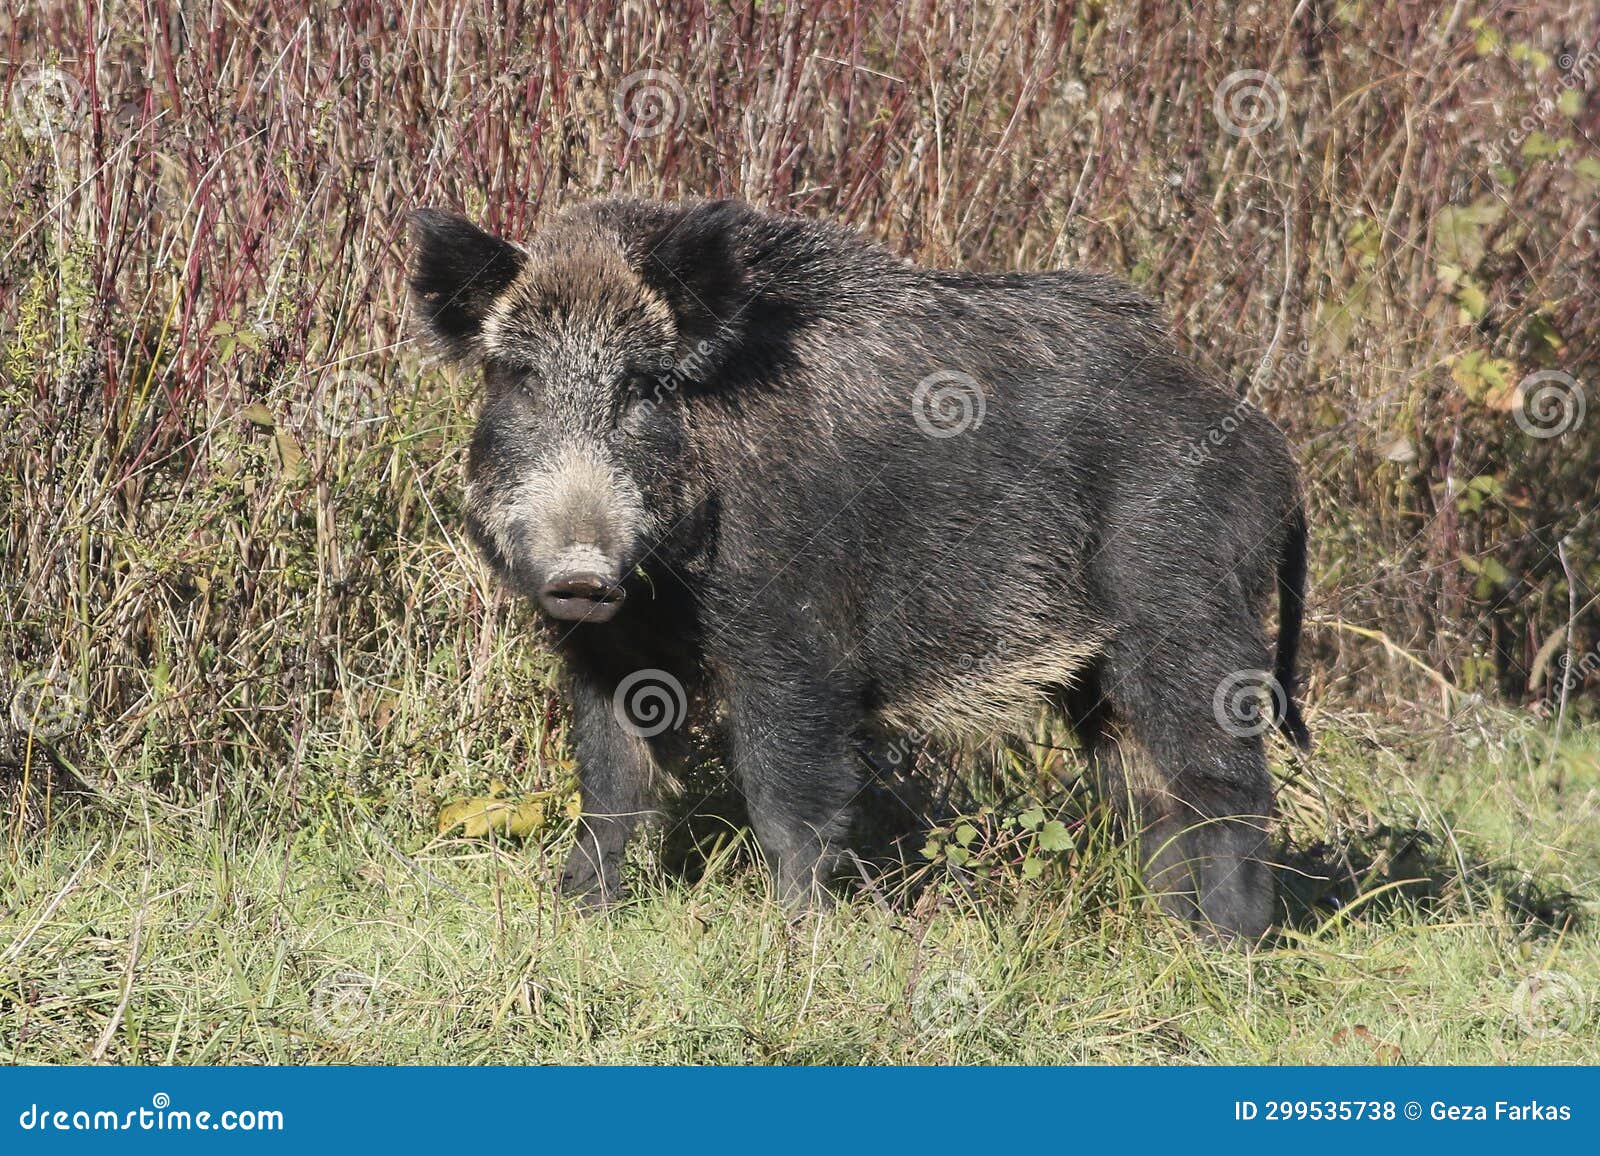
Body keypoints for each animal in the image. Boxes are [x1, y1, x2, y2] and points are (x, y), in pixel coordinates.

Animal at [407, 197, 1310, 941]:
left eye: (645, 385)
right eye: (518, 379)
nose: (581, 574)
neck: (661, 587)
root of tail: (1273, 452)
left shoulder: (796, 639)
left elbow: (786, 797)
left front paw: (797, 938)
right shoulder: (612, 652)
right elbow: (609, 786)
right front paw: (575, 915)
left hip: (1186, 607)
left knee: (1224, 782)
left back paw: (1227, 951)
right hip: (1098, 673)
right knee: (1147, 792)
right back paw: (1170, 933)